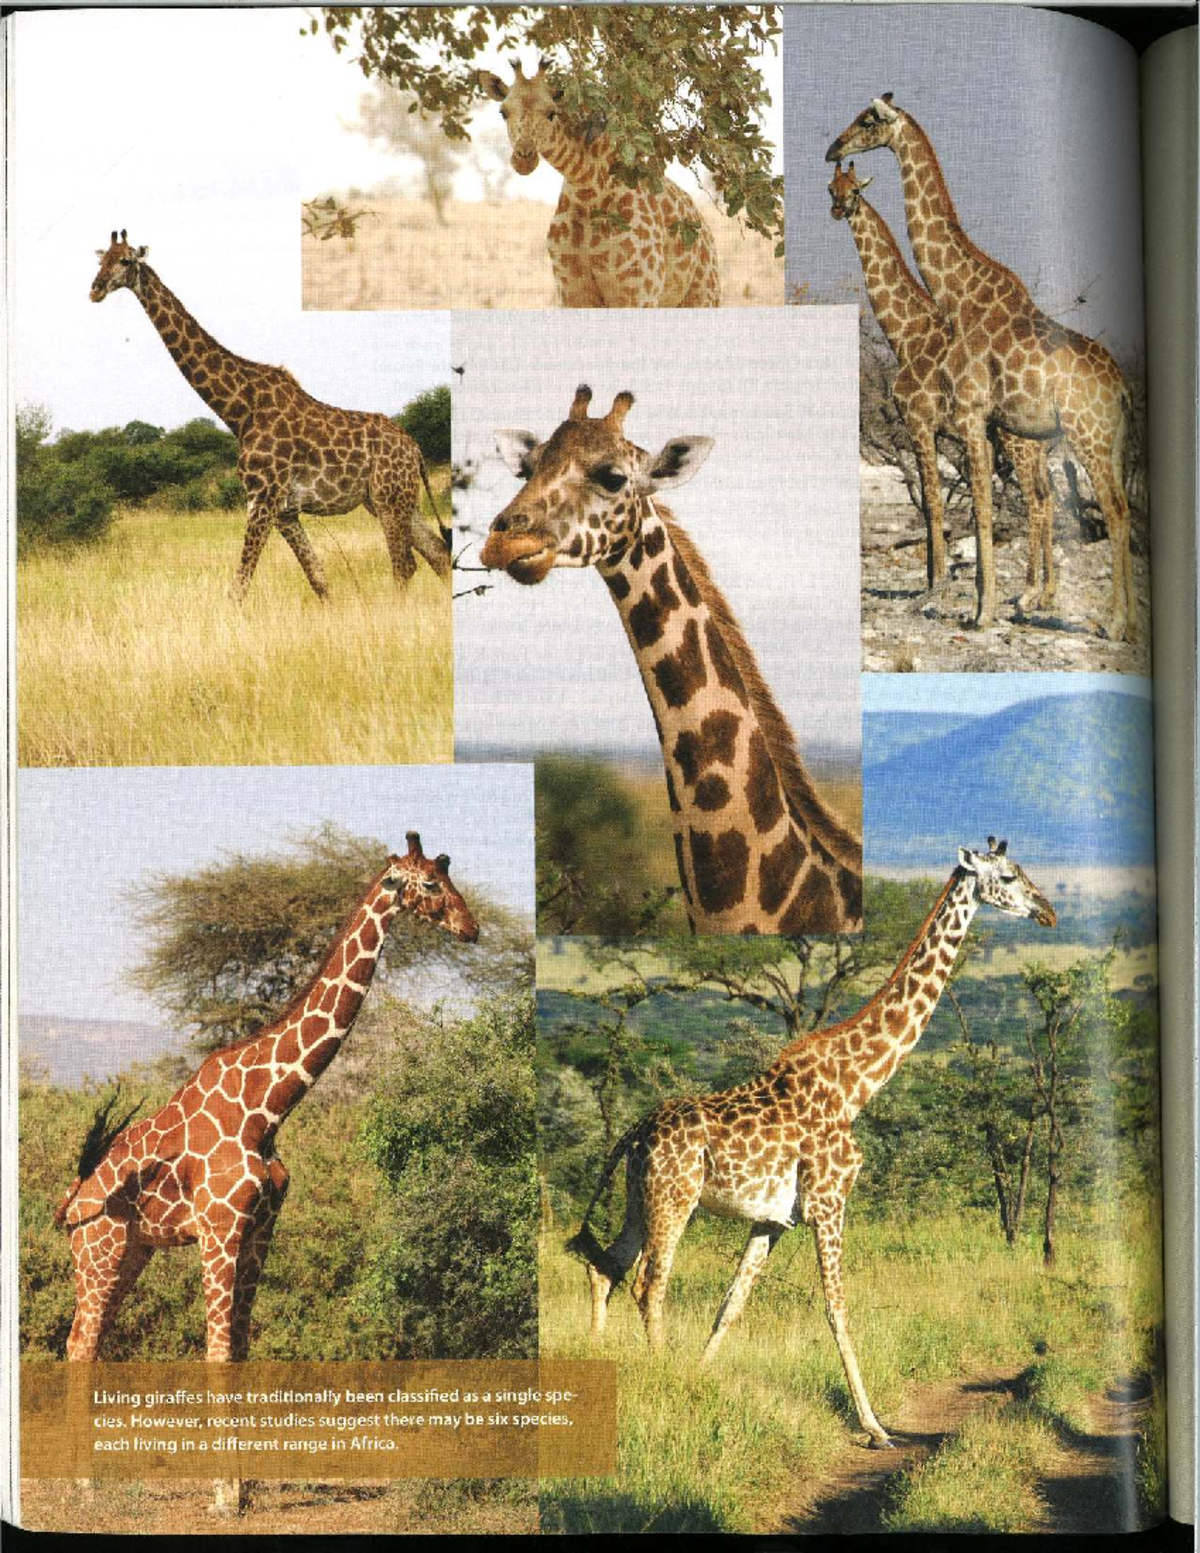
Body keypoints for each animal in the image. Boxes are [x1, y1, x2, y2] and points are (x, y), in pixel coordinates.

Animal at [56, 835, 477, 1370]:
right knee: (81, 1342)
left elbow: (239, 1347)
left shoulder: (261, 1229)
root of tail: (75, 1194)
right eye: (430, 883)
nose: (472, 928)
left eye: (449, 877)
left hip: (135, 1248)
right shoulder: (220, 1230)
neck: (266, 1109)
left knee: (90, 1339)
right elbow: (217, 1352)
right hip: (98, 1246)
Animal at [89, 231, 450, 601]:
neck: (239, 411)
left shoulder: (263, 499)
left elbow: (240, 585)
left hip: (388, 497)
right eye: (101, 260)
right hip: (389, 499)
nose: (96, 289)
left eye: (126, 261)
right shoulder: (284, 510)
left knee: (405, 565)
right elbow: (318, 578)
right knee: (437, 551)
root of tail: (415, 448)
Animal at [476, 60, 721, 308]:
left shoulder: (639, 292)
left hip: (702, 294)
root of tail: (706, 231)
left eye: (552, 112)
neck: (587, 188)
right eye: (503, 112)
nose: (524, 158)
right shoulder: (571, 291)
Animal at [568, 840, 1055, 1448]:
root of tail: (635, 1133)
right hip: (674, 1199)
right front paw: (874, 1426)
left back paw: (600, 1365)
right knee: (648, 1284)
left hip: (641, 1199)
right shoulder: (829, 1199)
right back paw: (658, 1375)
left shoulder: (774, 1218)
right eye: (1008, 877)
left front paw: (698, 1378)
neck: (856, 1086)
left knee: (605, 1269)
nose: (1048, 912)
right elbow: (836, 1308)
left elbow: (731, 1305)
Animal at [828, 162, 1056, 608]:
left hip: (1018, 442)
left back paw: (1027, 594)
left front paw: (935, 586)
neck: (906, 334)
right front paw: (939, 580)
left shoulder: (918, 422)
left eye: (855, 189)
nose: (838, 208)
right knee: (1050, 498)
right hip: (1031, 445)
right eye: (831, 186)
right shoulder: (932, 428)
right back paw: (1046, 593)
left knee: (1037, 501)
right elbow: (936, 501)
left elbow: (932, 503)